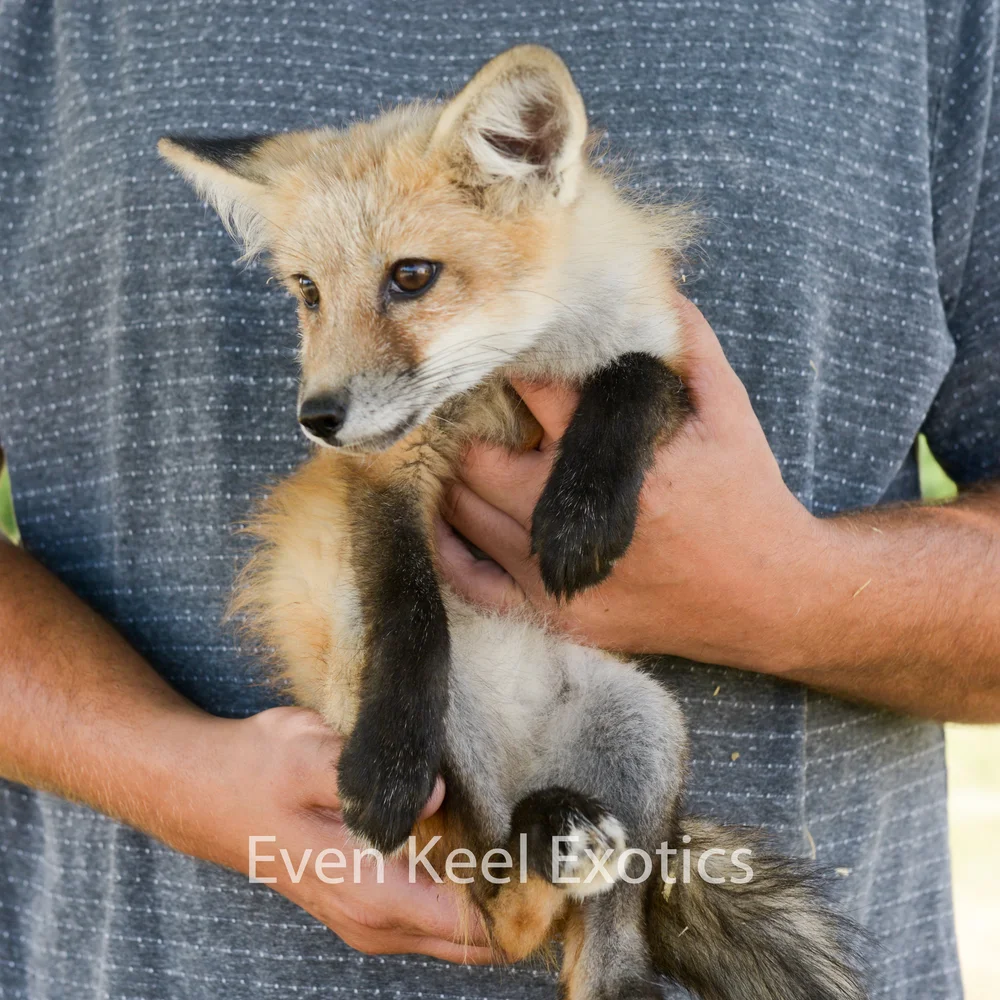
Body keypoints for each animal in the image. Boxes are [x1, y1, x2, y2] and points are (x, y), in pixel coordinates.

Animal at [159, 45, 867, 1000]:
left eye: (411, 276)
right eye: (307, 290)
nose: (318, 418)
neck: (509, 374)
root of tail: (529, 757)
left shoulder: (673, 365)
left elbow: (630, 379)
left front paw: (579, 518)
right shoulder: (387, 473)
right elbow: (411, 612)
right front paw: (386, 765)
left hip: (645, 731)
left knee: (600, 955)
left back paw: (564, 846)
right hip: (449, 747)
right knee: (503, 912)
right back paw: (541, 839)